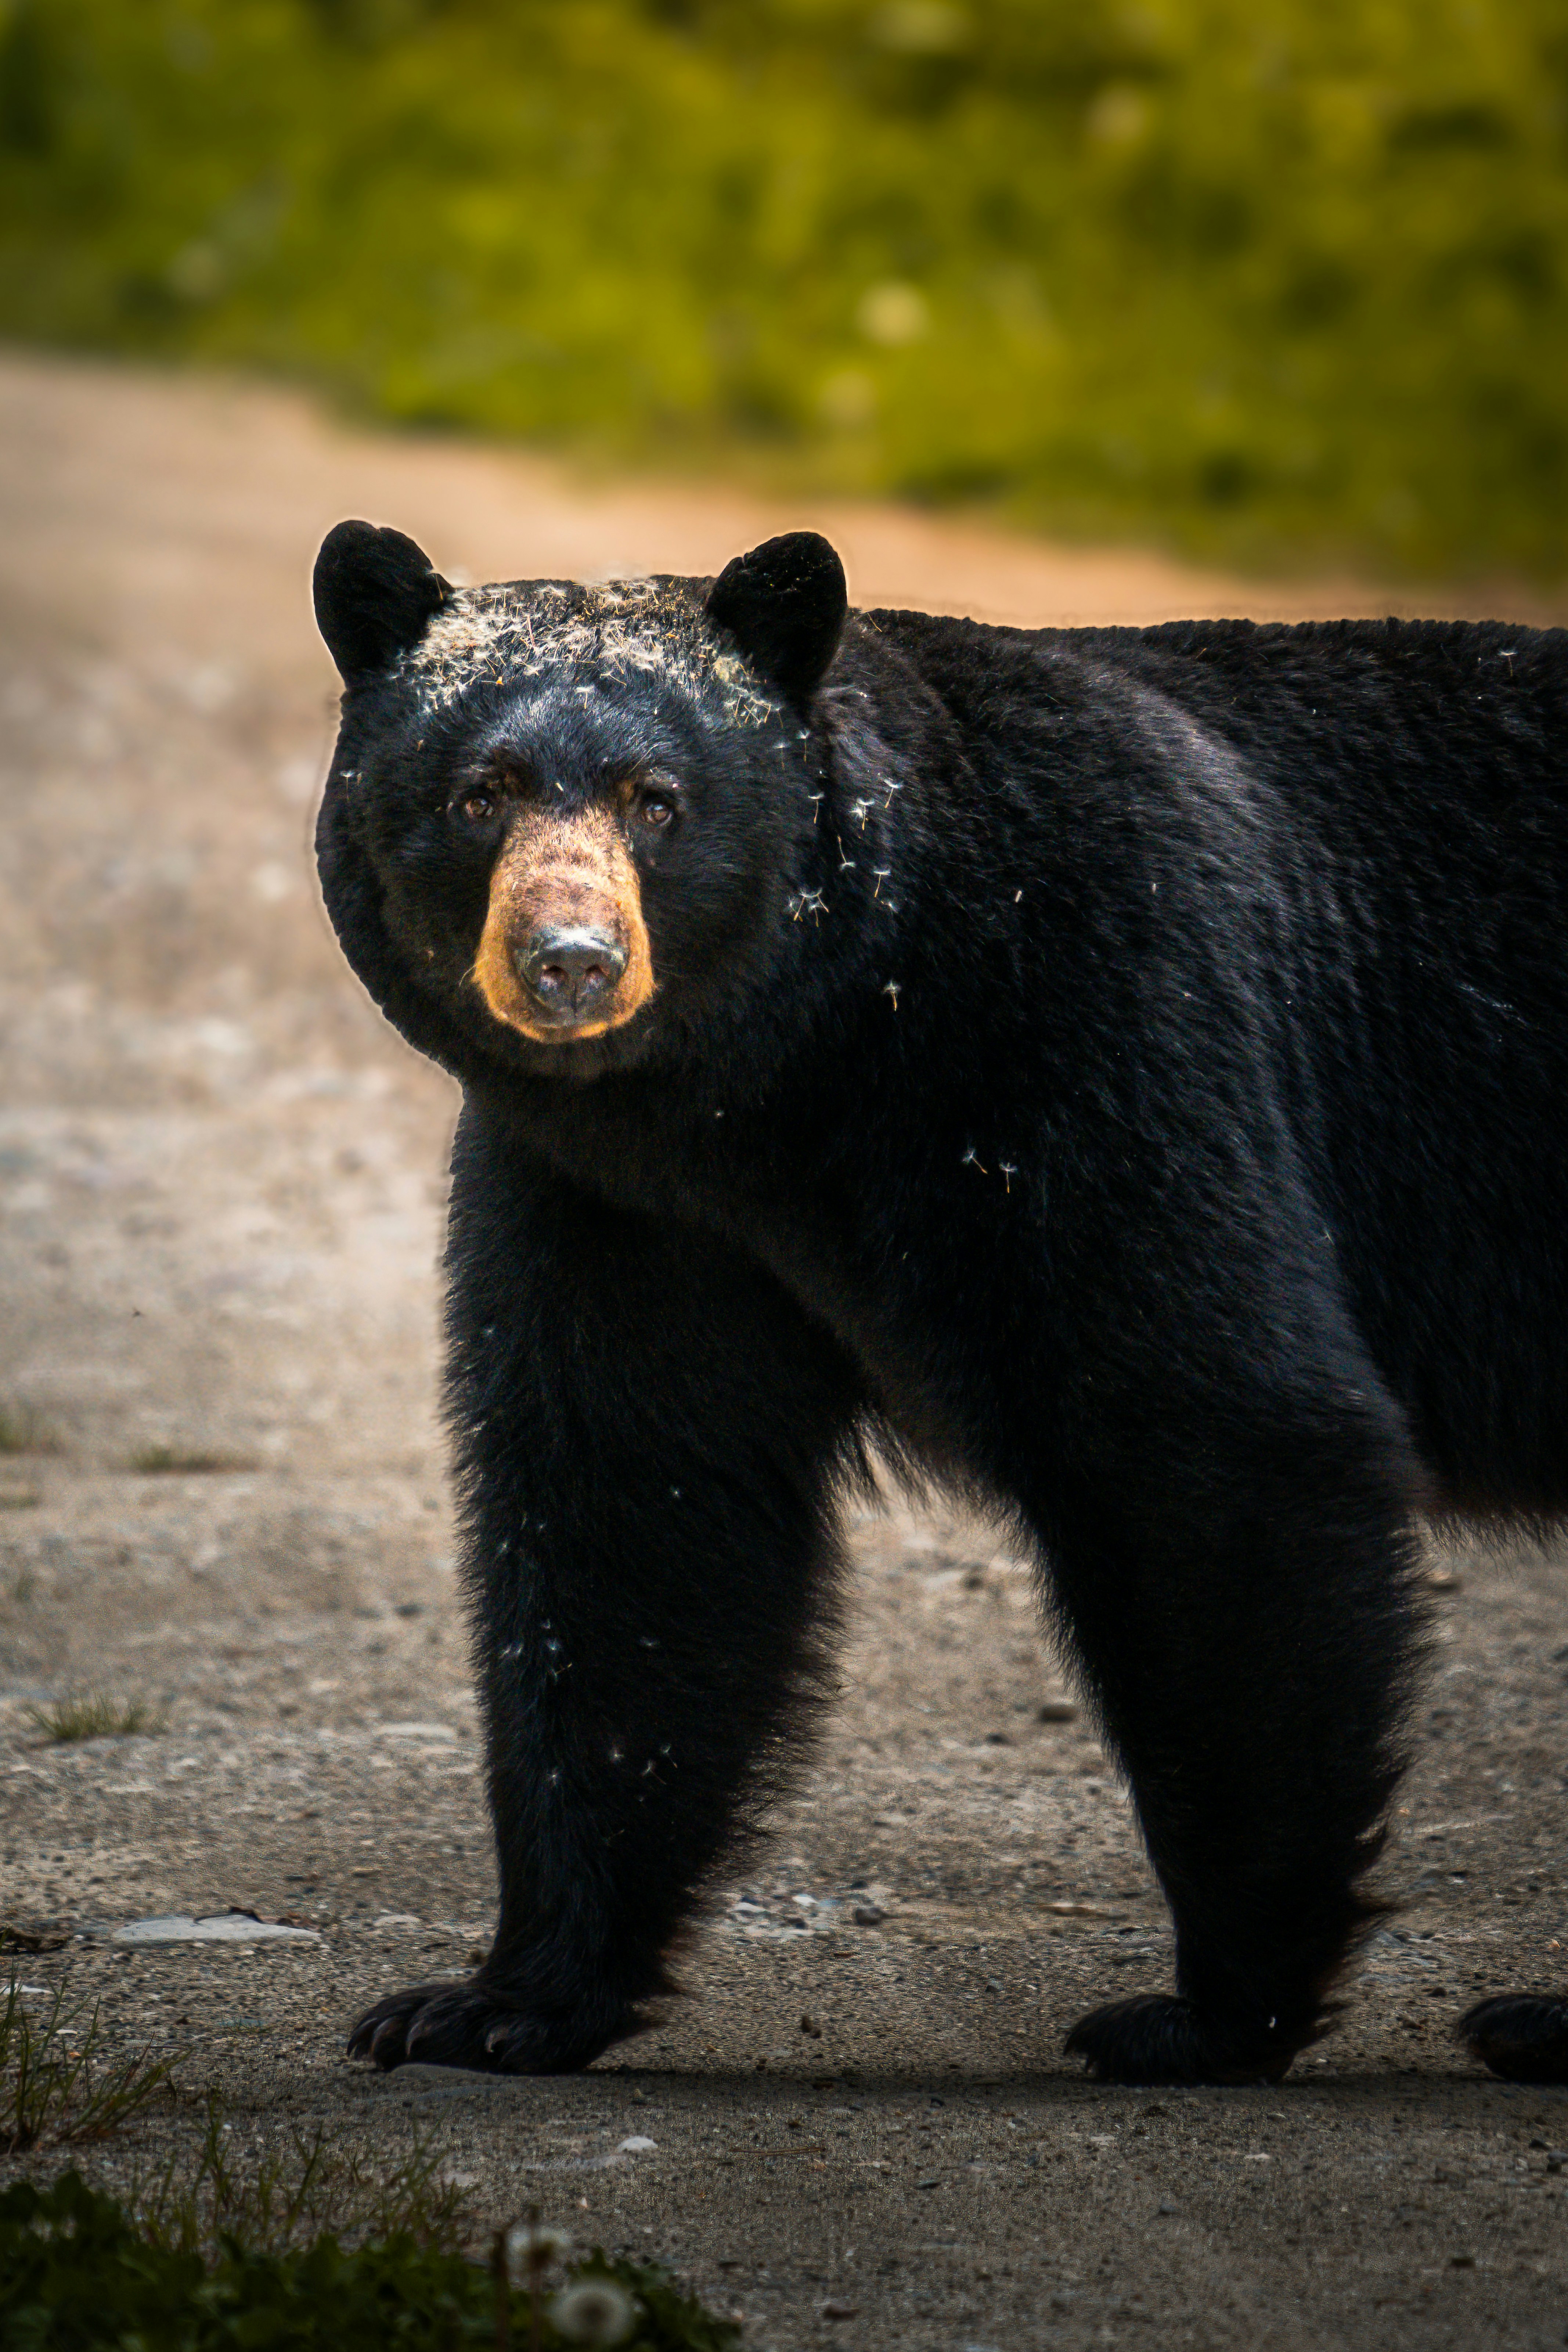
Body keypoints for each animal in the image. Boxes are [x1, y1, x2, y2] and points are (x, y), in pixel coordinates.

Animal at [312, 517, 1568, 2088]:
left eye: (658, 800)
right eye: (477, 792)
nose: (570, 964)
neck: (805, 1066)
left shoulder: (1098, 1024)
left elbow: (1210, 1430)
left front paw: (1208, 2009)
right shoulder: (627, 1197)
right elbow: (632, 1514)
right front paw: (495, 1997)